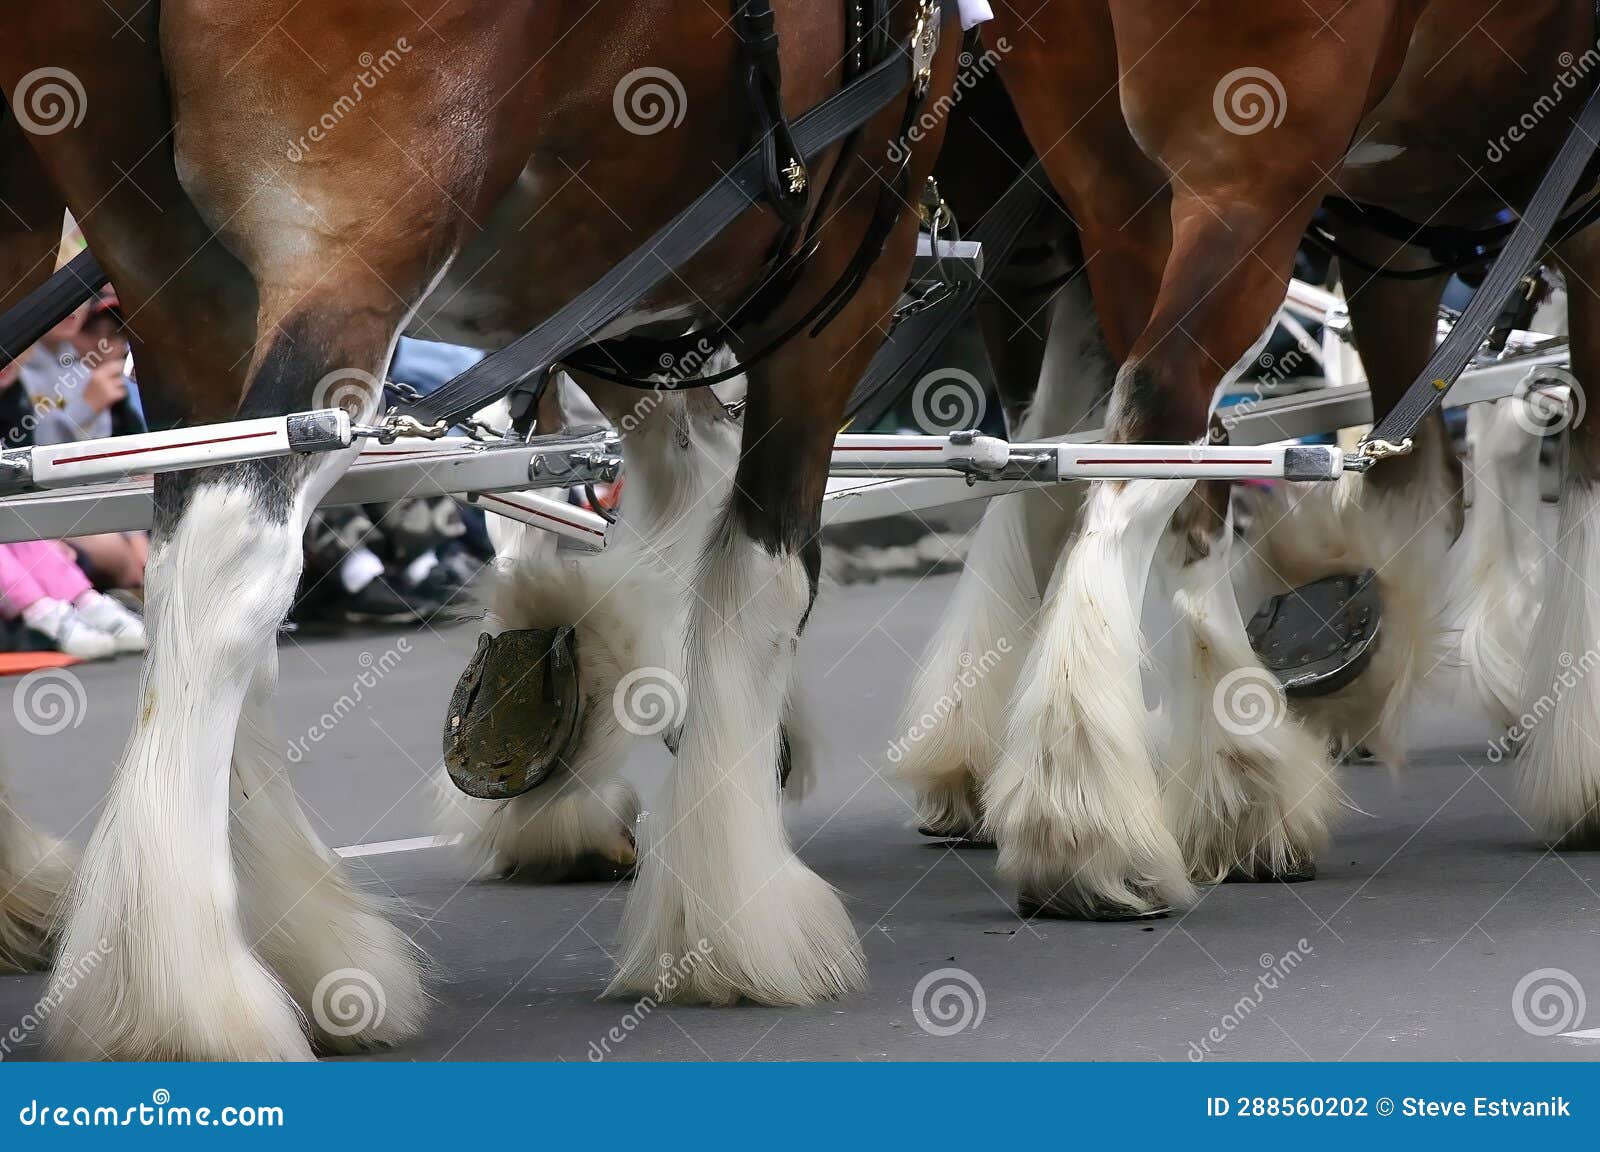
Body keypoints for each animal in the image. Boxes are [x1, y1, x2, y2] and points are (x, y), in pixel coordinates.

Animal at [0, 0, 966, 1059]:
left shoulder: (624, 290)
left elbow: (658, 484)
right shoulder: (840, 284)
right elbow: (762, 576)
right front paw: (738, 922)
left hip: (171, 271)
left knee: (192, 553)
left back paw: (291, 943)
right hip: (364, 225)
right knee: (236, 554)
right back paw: (186, 997)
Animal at [896, 0, 1600, 918]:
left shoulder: (1402, 215)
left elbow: (1418, 479)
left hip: (1108, 197)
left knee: (1109, 455)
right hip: (1249, 178)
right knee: (1149, 429)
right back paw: (1101, 814)